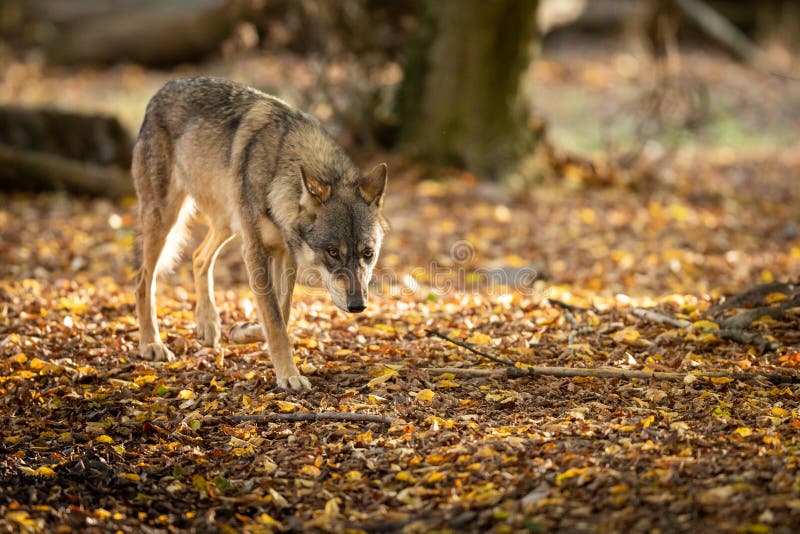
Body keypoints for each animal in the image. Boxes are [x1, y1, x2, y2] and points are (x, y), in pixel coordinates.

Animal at [132, 77, 388, 390]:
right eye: (332, 252)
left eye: (368, 254)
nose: (358, 306)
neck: (281, 168)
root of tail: (163, 88)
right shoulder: (255, 250)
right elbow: (275, 320)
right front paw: (289, 375)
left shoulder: (286, 254)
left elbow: (282, 312)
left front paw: (246, 331)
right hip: (166, 220)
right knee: (144, 281)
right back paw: (151, 344)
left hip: (227, 223)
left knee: (198, 257)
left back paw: (208, 324)